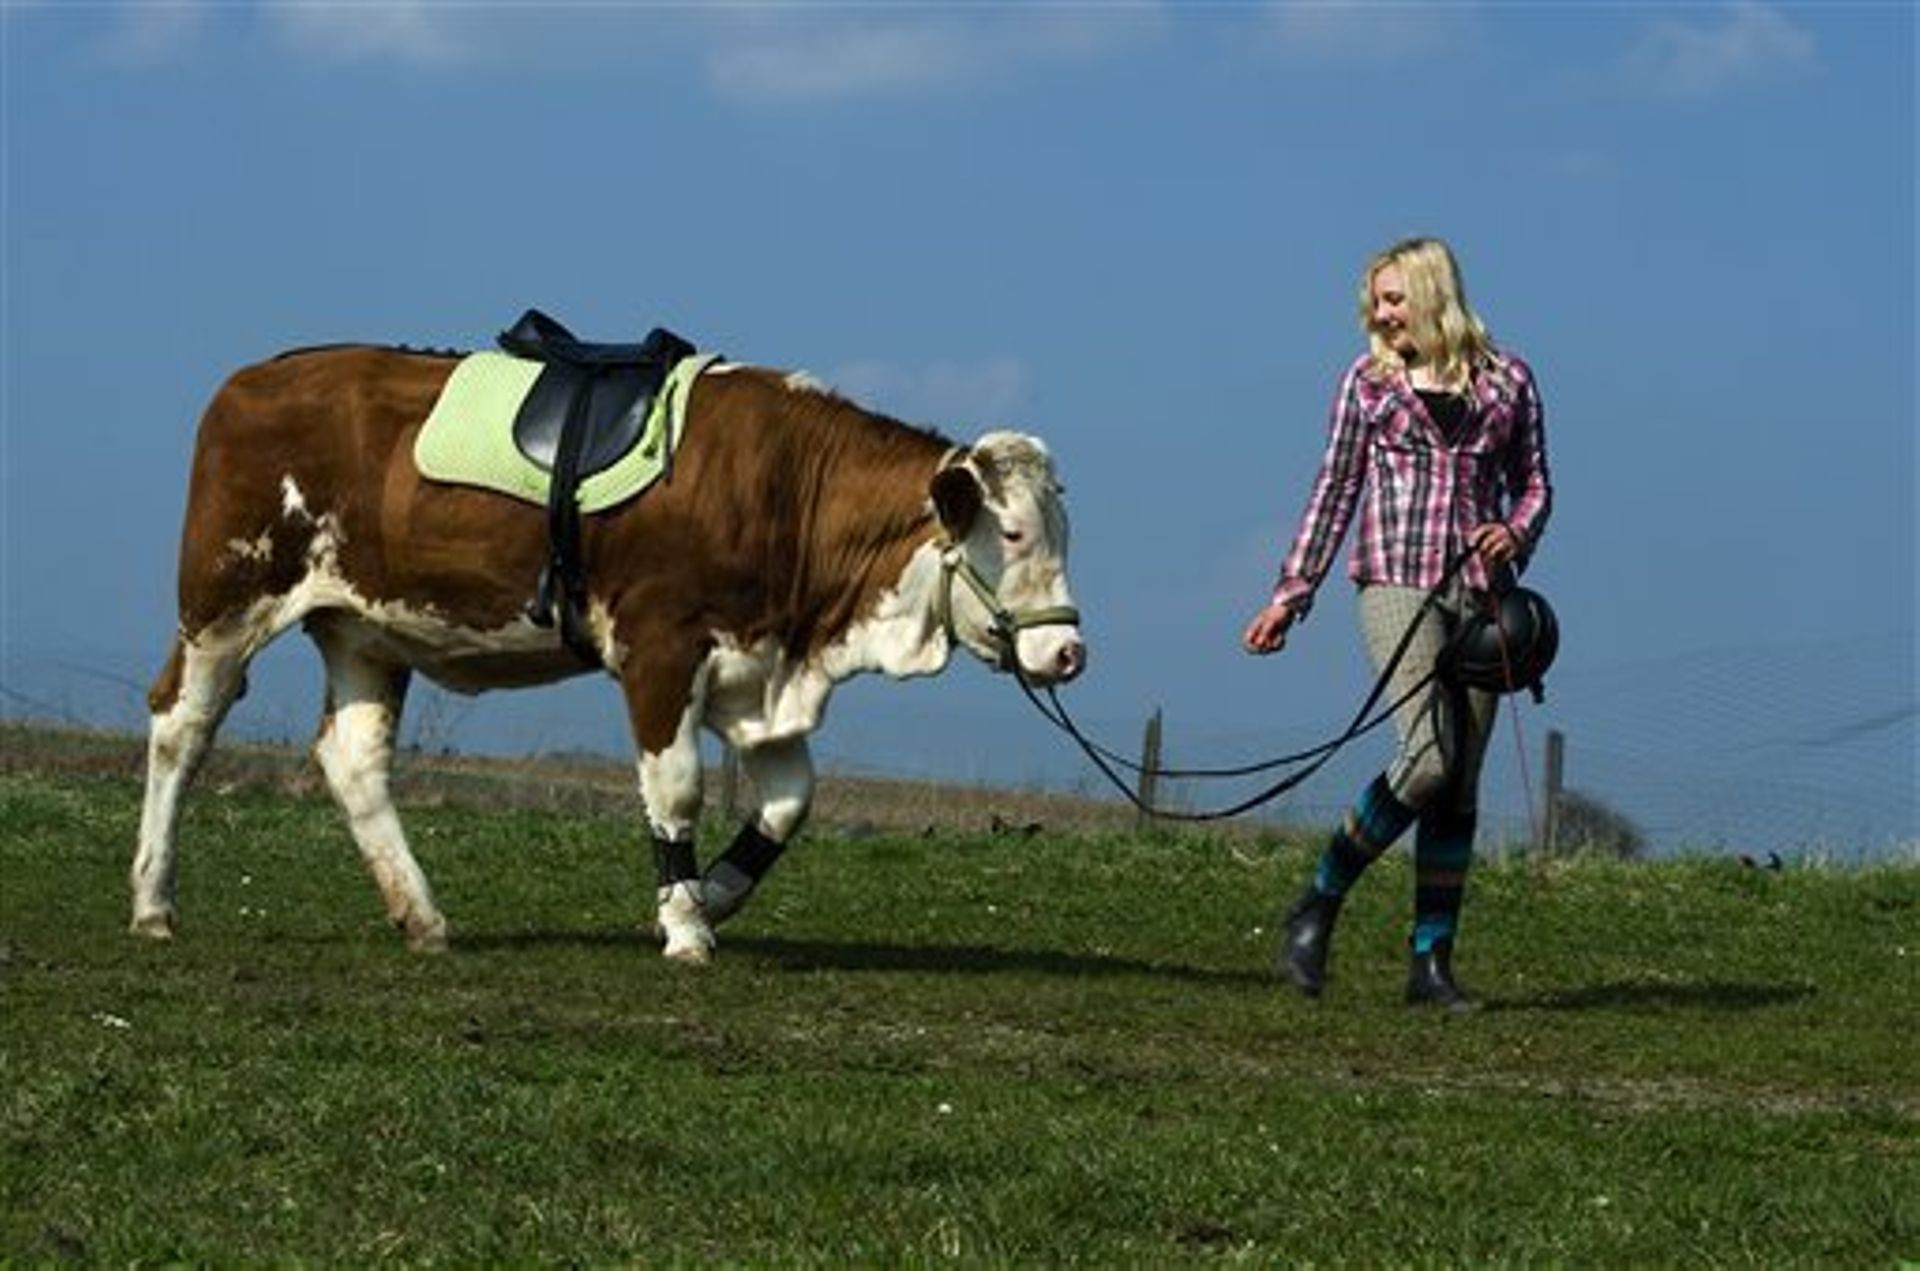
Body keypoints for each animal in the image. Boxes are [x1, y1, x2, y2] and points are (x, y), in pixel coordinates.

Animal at [129, 341, 1085, 962]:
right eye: (1011, 530)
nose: (1068, 651)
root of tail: (258, 376)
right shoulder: (661, 649)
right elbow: (678, 789)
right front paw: (686, 924)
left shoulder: (759, 669)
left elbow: (788, 802)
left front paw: (713, 895)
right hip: (225, 603)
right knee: (182, 728)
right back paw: (152, 902)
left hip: (366, 629)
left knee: (353, 759)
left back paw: (423, 917)